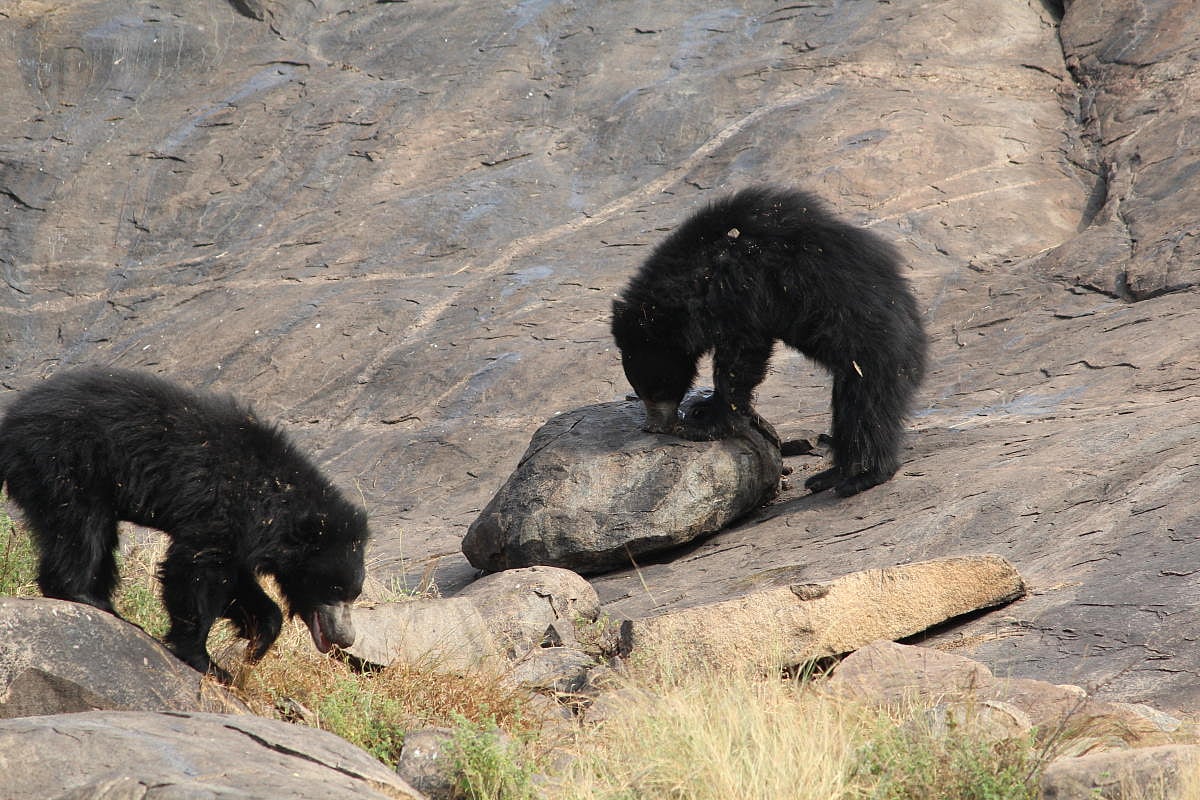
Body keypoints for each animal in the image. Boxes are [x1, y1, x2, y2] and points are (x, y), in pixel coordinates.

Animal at [0, 367, 369, 682]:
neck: (276, 499)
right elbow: (194, 573)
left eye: (353, 593)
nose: (346, 639)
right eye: (334, 590)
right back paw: (87, 597)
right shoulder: (222, 507)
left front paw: (256, 642)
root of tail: (11, 420)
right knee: (80, 528)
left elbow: (235, 581)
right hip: (66, 460)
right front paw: (208, 662)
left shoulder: (240, 536)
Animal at [611, 186, 927, 497]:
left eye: (656, 388)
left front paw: (702, 424)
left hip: (868, 346)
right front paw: (703, 407)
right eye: (640, 389)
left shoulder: (744, 285)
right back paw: (829, 476)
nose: (654, 426)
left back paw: (861, 476)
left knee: (866, 408)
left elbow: (741, 356)